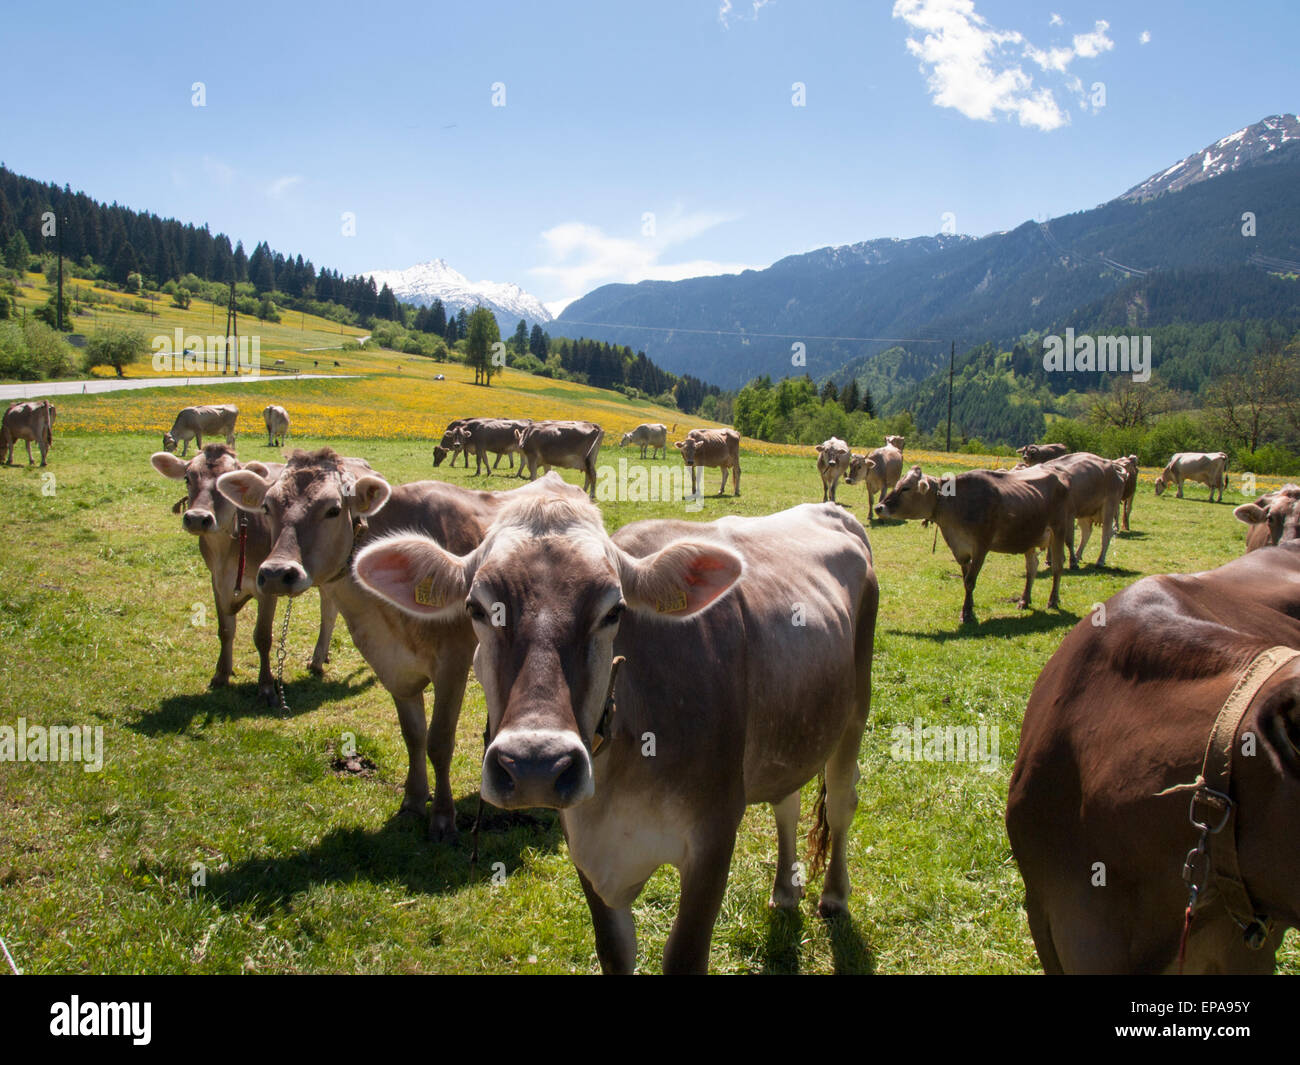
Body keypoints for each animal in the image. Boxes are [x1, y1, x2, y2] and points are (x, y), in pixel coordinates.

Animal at [150, 444, 338, 703]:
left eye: (224, 482)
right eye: (187, 478)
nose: (198, 519)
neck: (226, 551)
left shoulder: (267, 584)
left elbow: (263, 637)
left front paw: (267, 686)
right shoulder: (217, 582)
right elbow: (226, 630)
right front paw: (221, 674)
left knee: (328, 612)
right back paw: (320, 658)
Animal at [216, 448, 550, 840]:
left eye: (332, 509)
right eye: (268, 506)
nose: (276, 573)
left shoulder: (452, 662)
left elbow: (440, 741)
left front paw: (442, 817)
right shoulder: (391, 664)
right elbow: (413, 735)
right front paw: (413, 800)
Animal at [352, 475, 878, 974]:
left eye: (614, 611)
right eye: (477, 608)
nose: (535, 766)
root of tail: (833, 512)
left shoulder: (715, 832)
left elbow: (684, 956)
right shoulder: (586, 846)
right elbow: (615, 953)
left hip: (856, 710)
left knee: (841, 801)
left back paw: (834, 895)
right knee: (787, 800)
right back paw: (786, 889)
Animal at [875, 464, 1070, 624]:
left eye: (906, 488)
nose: (878, 507)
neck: (955, 503)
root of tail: (1058, 474)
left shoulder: (980, 547)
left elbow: (970, 580)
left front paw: (967, 613)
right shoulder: (959, 548)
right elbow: (965, 577)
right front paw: (970, 605)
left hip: (1059, 529)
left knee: (1057, 566)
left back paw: (1053, 600)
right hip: (1029, 537)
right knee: (1032, 567)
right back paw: (1024, 600)